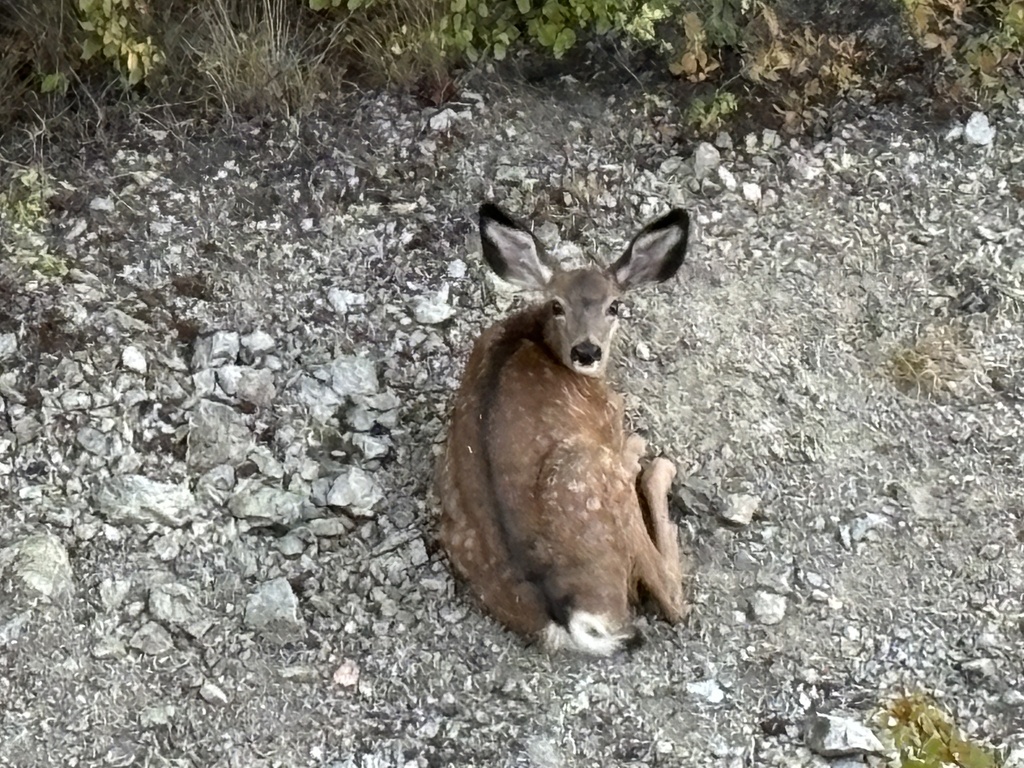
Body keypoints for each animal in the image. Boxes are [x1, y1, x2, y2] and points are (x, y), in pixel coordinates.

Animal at [436, 203, 692, 656]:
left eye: (614, 307)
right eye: (558, 305)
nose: (587, 351)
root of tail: (572, 617)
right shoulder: (609, 412)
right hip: (600, 478)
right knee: (670, 599)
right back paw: (651, 464)